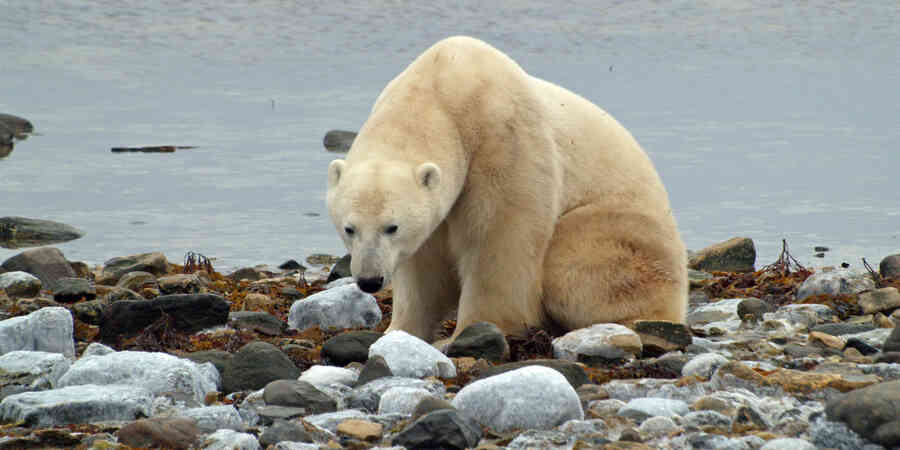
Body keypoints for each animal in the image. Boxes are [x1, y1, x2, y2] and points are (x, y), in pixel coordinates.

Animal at [326, 36, 687, 344]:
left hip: (618, 231)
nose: (369, 280)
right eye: (349, 228)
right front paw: (399, 331)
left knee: (577, 269)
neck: (441, 89)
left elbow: (498, 236)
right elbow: (423, 263)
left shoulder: (504, 138)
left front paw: (470, 330)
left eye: (392, 227)